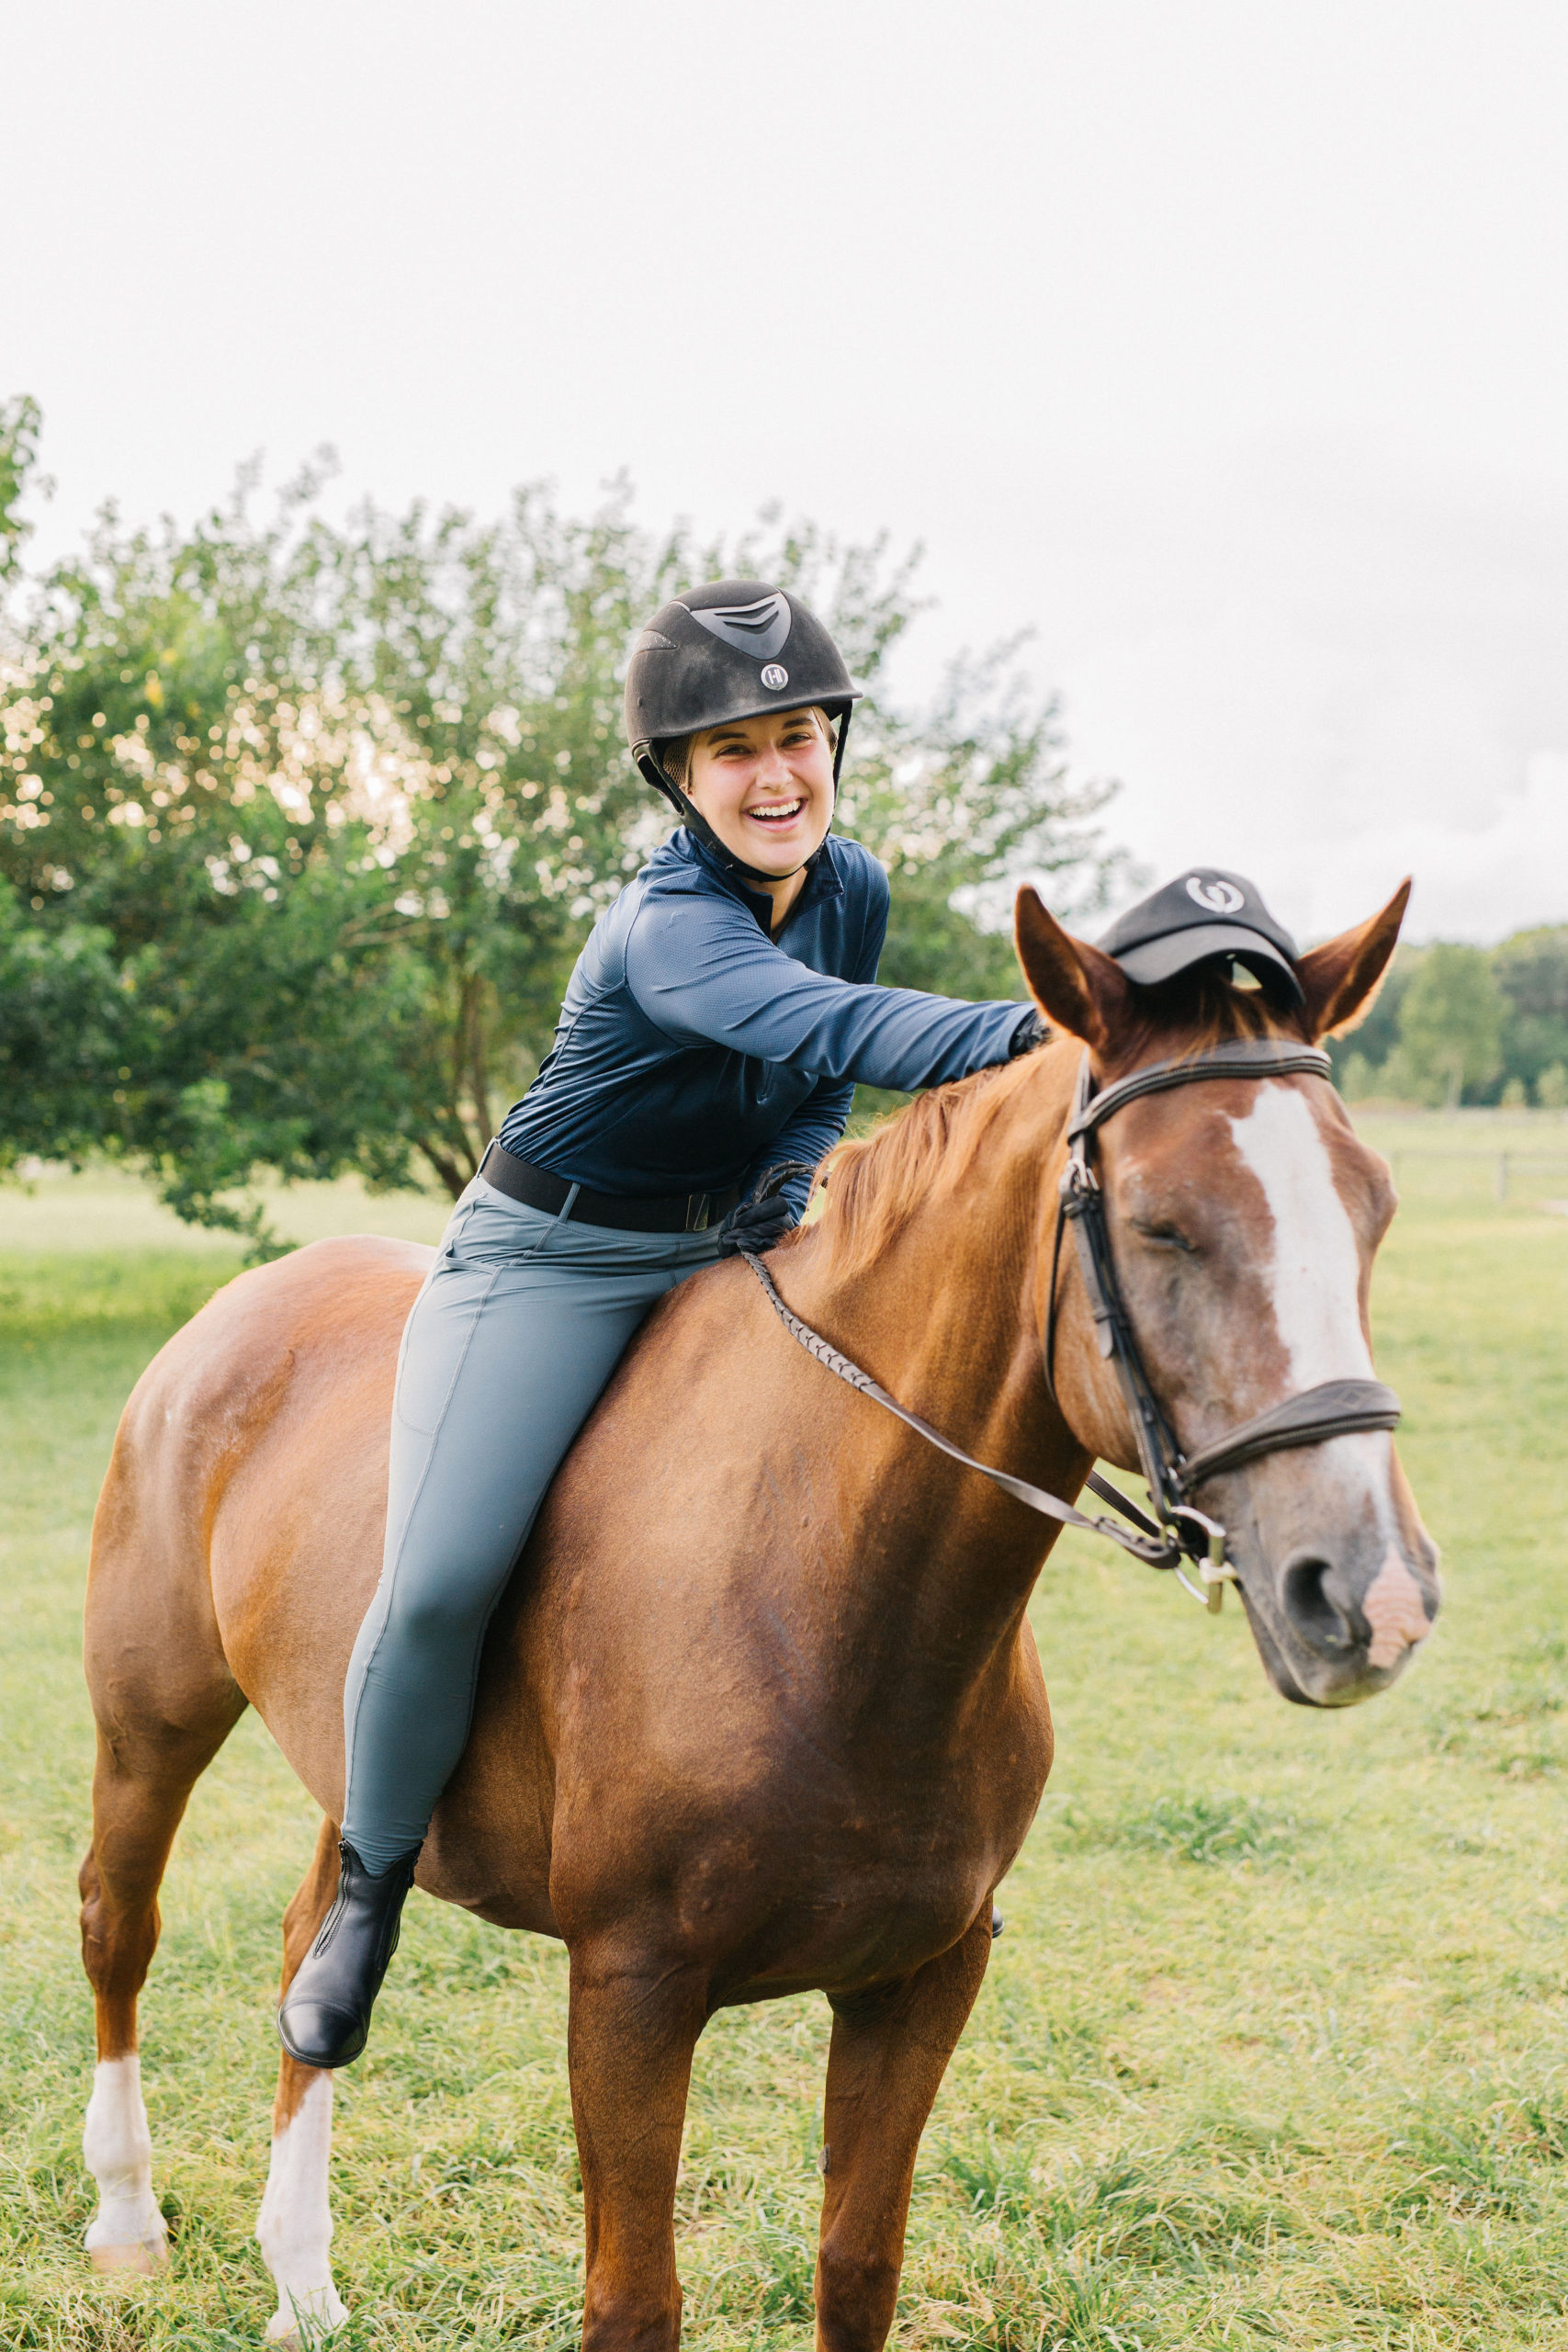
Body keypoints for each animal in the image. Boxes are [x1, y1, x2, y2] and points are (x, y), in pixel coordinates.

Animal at [77, 884, 1437, 2349]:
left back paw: (302, 2273)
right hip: (151, 1718)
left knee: (310, 1942)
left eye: (1372, 1208)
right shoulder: (629, 1995)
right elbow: (633, 2304)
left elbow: (855, 2266)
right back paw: (127, 2223)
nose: (1371, 1595)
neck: (830, 1592)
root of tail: (245, 1301)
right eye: (1159, 1222)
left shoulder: (921, 1978)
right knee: (118, 1921)